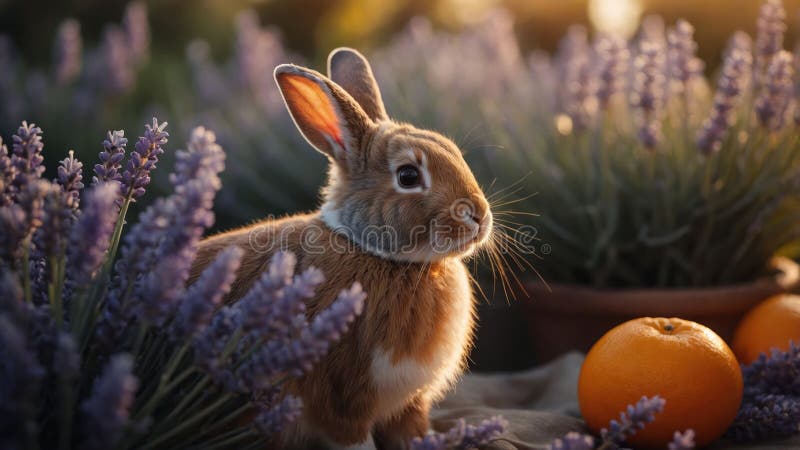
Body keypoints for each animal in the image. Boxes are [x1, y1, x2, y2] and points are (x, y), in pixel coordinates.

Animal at [190, 48, 494, 450]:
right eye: (408, 176)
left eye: (455, 152)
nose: (479, 215)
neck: (387, 257)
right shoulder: (342, 396)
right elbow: (352, 437)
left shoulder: (409, 404)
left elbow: (411, 430)